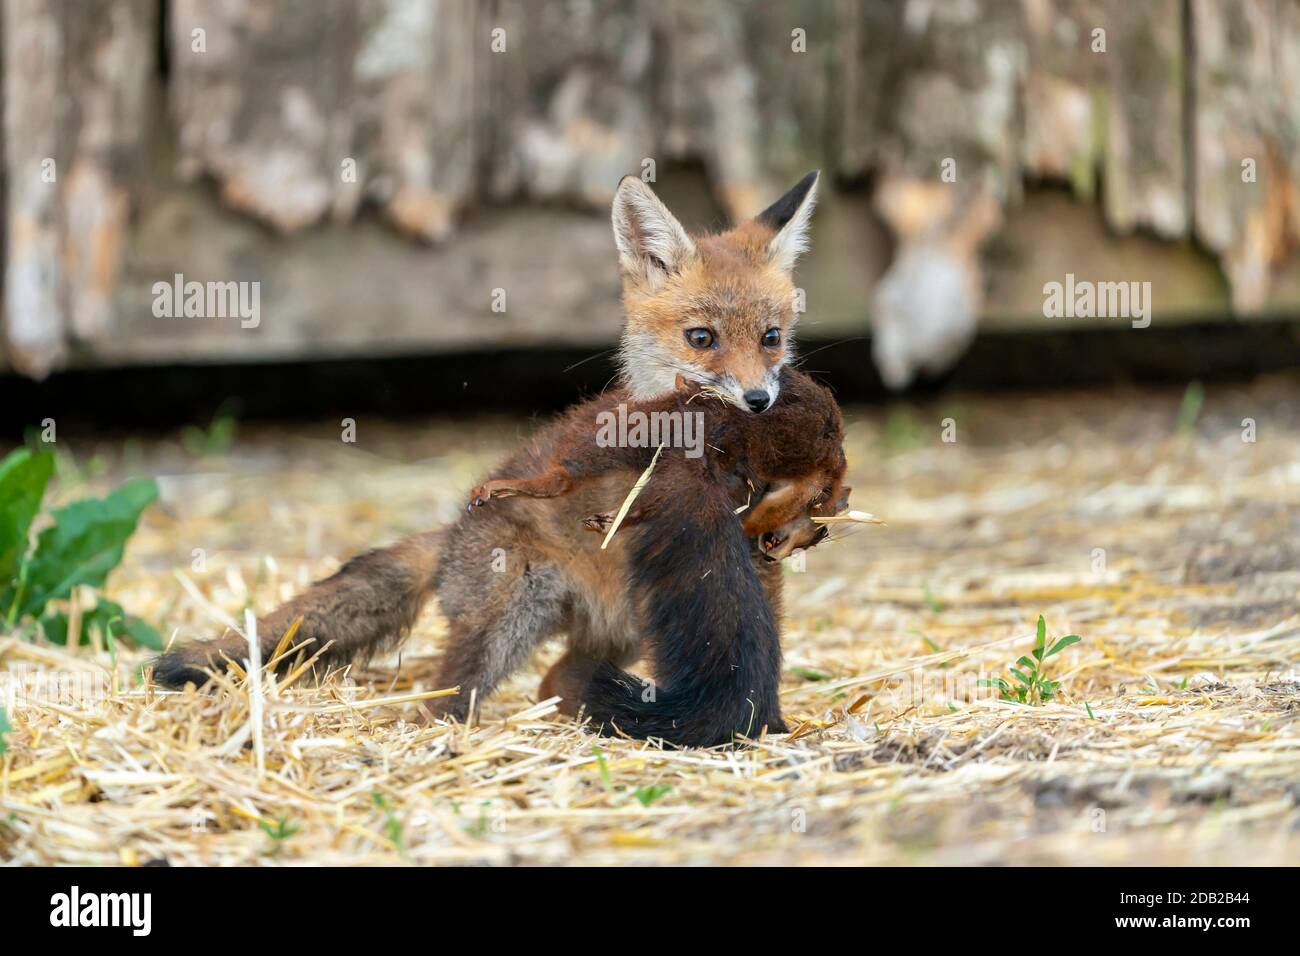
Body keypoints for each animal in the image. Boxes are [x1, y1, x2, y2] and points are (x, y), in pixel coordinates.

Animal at [154, 170, 835, 746]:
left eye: (771, 338)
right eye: (702, 338)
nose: (757, 401)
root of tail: (453, 531)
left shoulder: (755, 557)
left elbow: (763, 632)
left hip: (607, 634)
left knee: (555, 679)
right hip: (508, 619)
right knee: (447, 693)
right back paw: (444, 735)